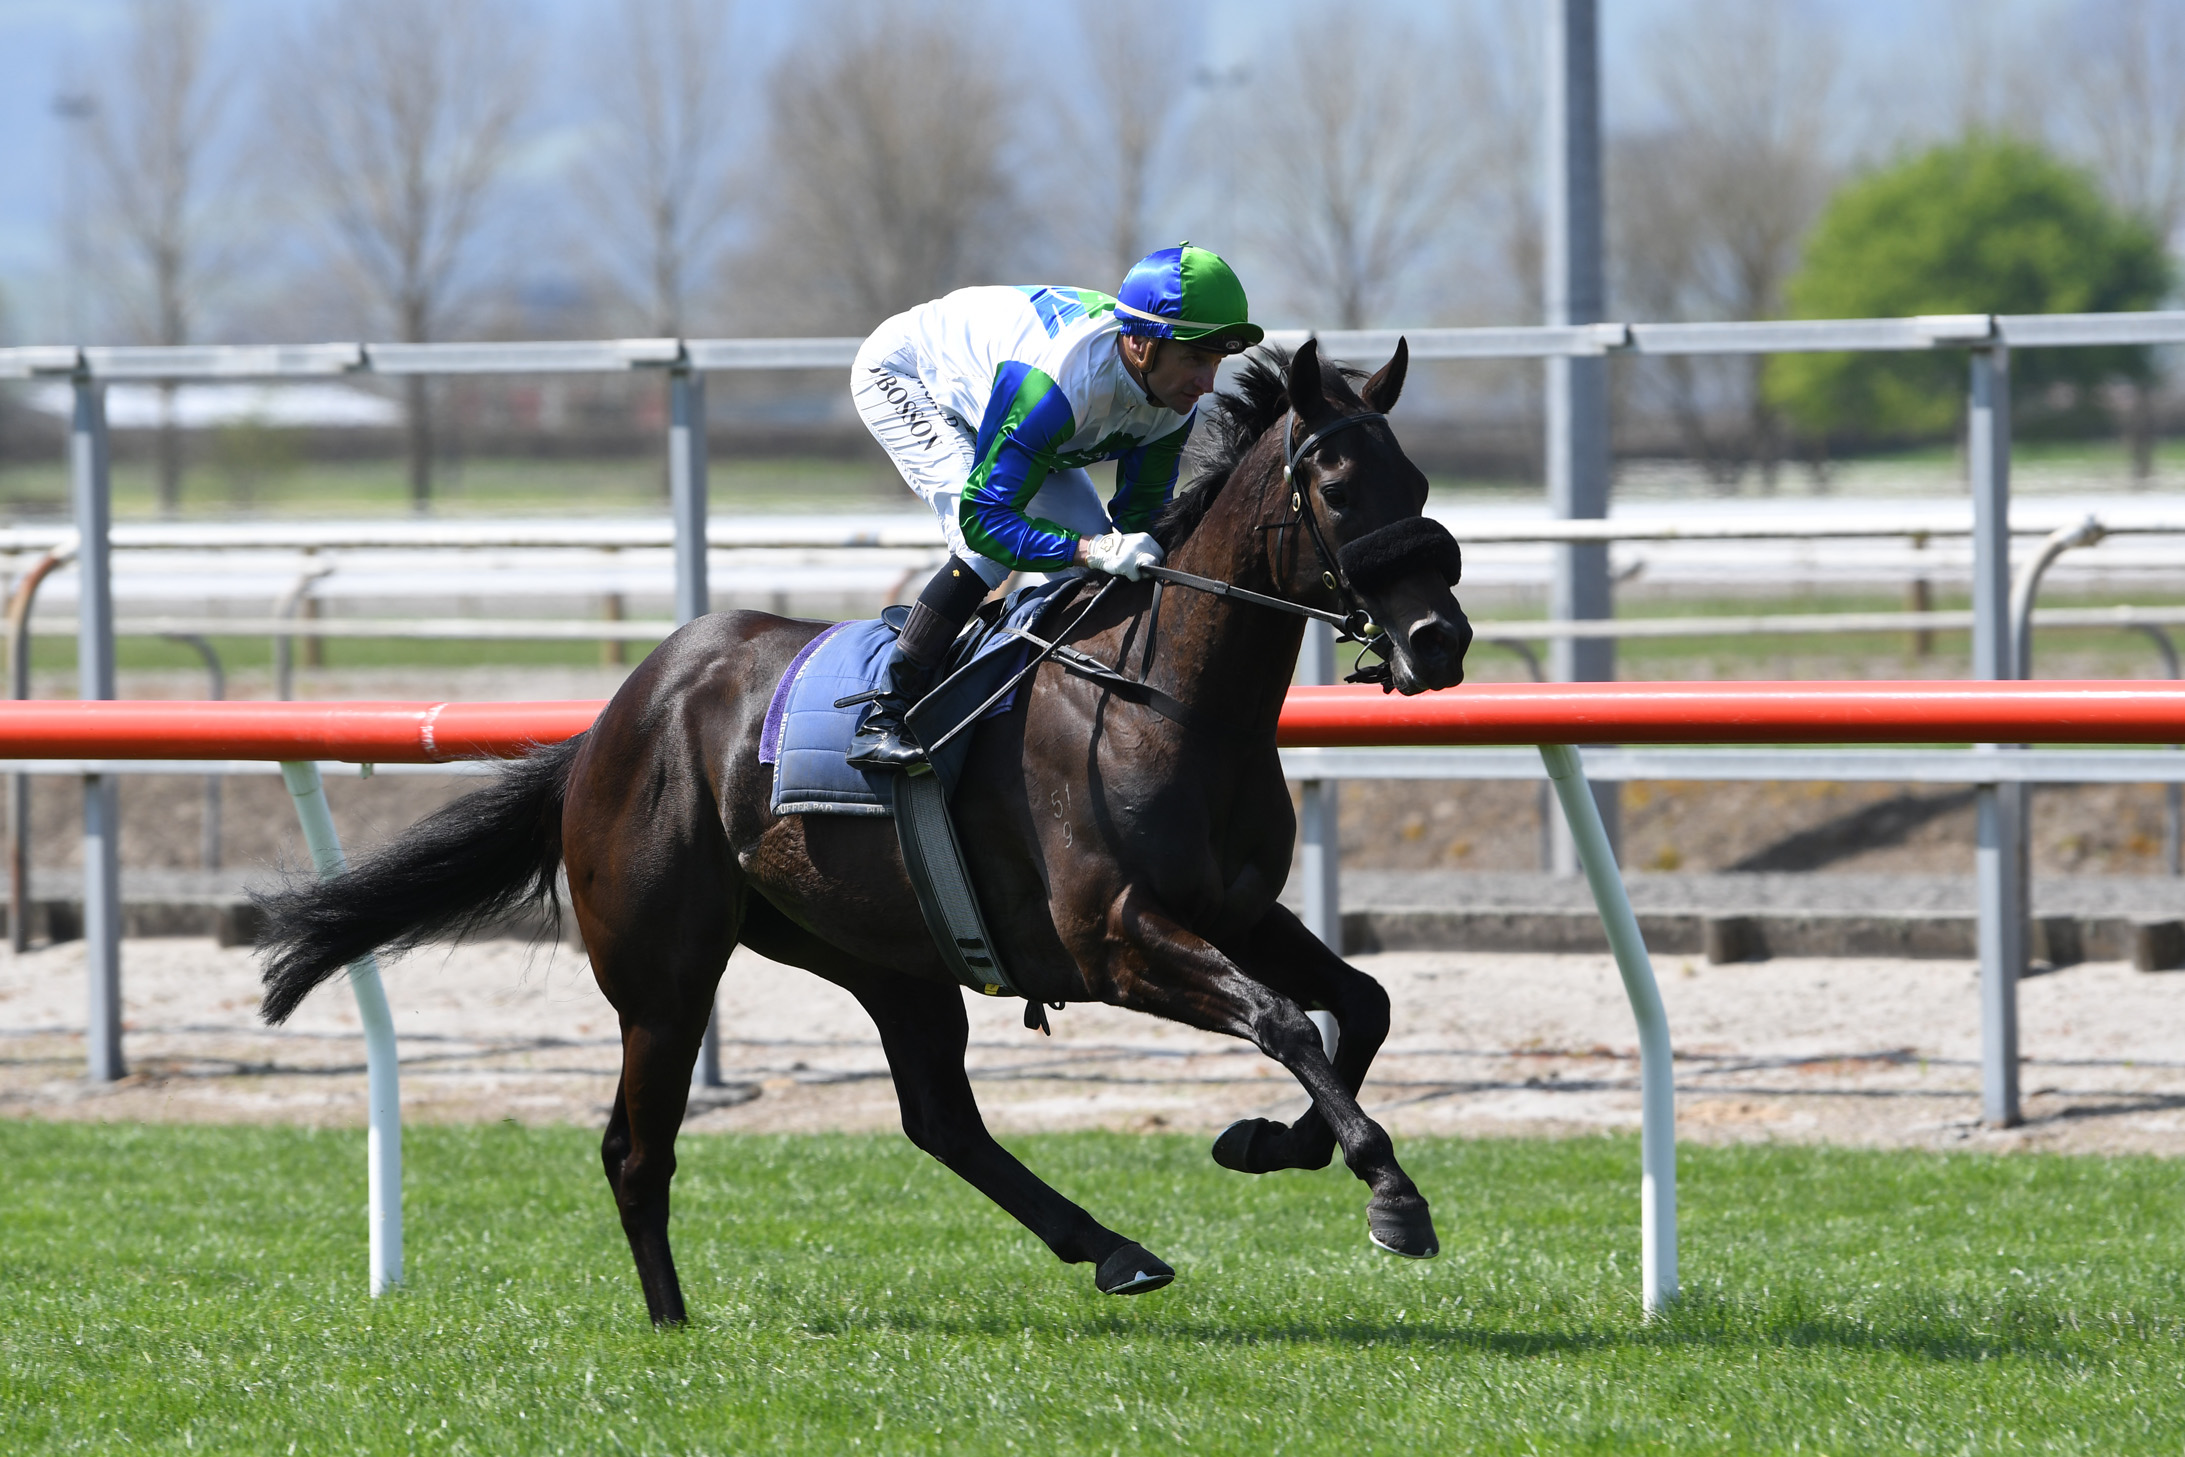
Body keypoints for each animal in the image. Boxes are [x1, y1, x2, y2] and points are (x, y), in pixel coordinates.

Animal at [254, 338, 1473, 1325]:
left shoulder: (1236, 908)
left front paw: (1277, 1141)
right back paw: (670, 1323)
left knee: (939, 1118)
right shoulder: (1114, 938)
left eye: (1417, 477)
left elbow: (1360, 1001)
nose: (1439, 639)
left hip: (887, 952)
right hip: (665, 973)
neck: (1159, 699)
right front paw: (1390, 1192)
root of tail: (610, 721)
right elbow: (1283, 1019)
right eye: (1335, 484)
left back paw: (1112, 1248)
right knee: (636, 1150)